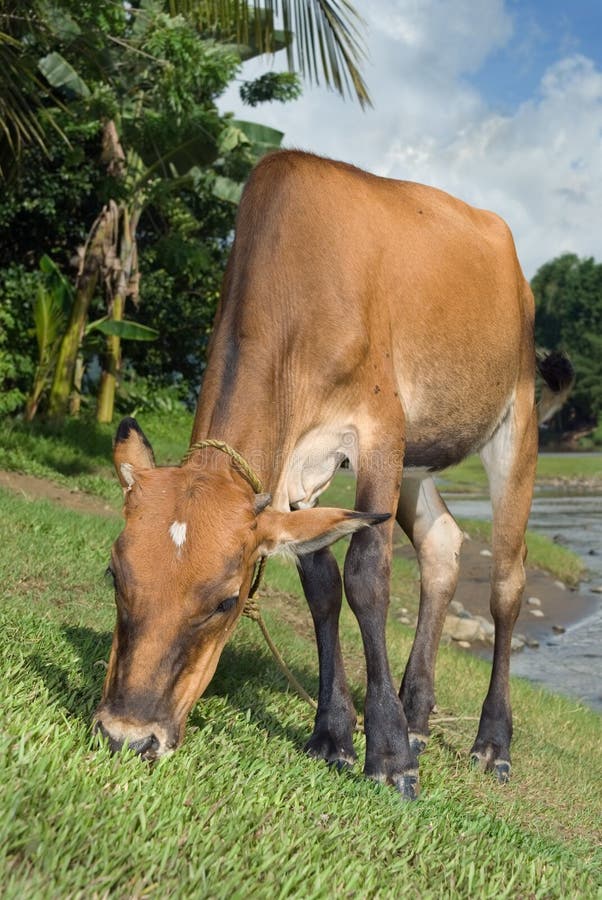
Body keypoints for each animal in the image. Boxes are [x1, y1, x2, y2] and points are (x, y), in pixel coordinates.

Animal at [94, 151, 573, 799]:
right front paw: (335, 735)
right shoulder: (295, 472)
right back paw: (416, 717)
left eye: (225, 600)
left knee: (507, 579)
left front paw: (389, 757)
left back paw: (491, 741)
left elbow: (367, 576)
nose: (128, 734)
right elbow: (320, 585)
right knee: (443, 544)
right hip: (420, 458)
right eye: (114, 575)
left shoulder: (380, 427)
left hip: (514, 421)